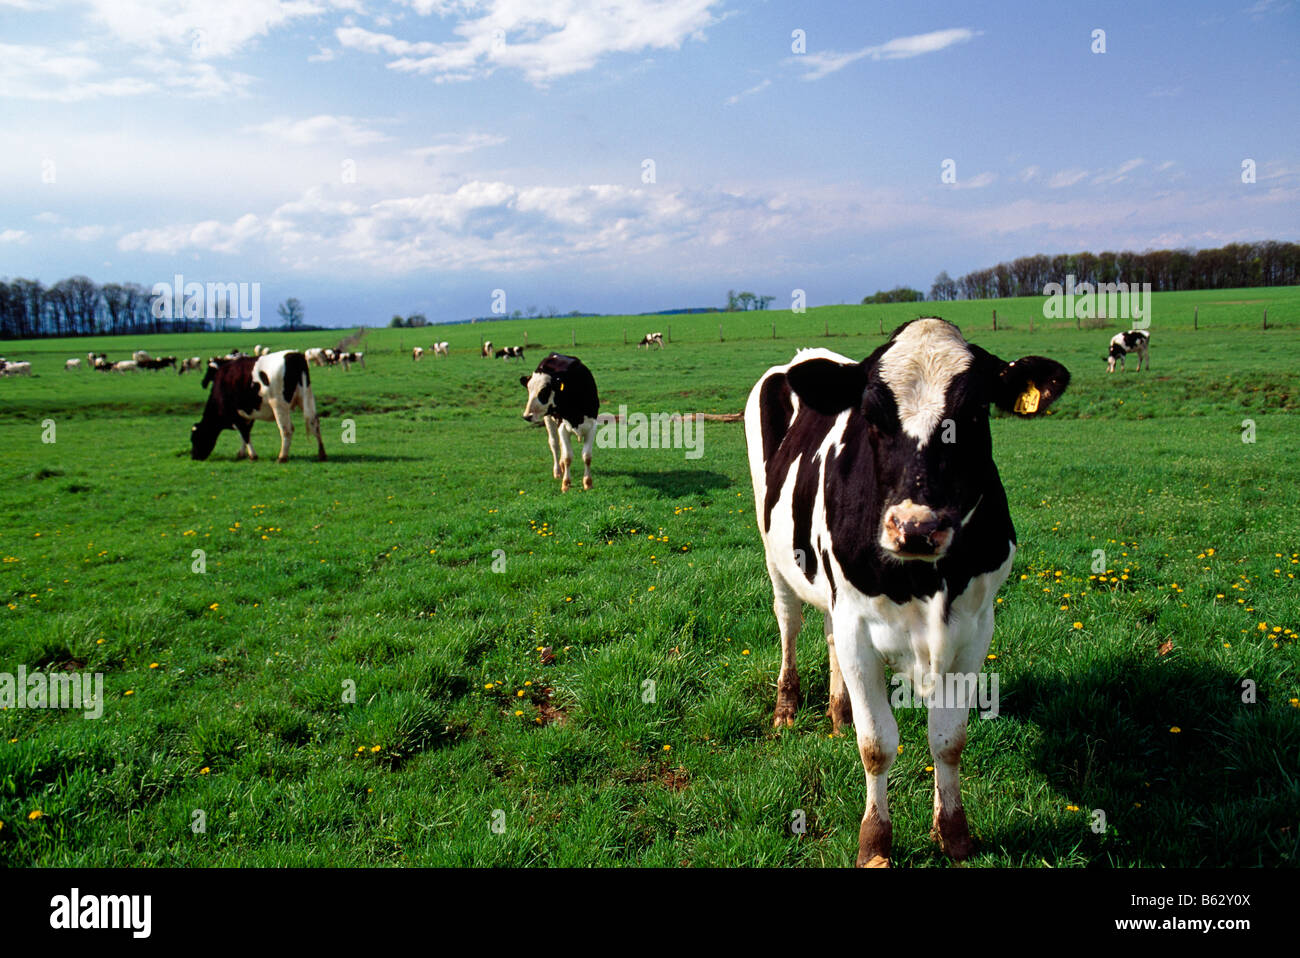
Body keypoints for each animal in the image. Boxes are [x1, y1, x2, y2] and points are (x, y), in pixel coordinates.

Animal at [191, 350, 325, 463]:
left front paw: (252, 455)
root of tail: (295, 355)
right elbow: (244, 434)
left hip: (279, 405)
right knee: (314, 423)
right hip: (307, 398)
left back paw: (282, 457)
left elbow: (244, 434)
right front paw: (241, 453)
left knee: (286, 429)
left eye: (195, 438)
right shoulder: (247, 415)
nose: (194, 457)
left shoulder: (236, 415)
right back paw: (321, 454)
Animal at [520, 353, 600, 492]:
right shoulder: (562, 426)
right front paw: (566, 484)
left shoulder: (592, 426)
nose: (527, 416)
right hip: (549, 419)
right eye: (529, 390)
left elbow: (587, 456)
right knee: (555, 444)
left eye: (544, 391)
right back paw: (558, 471)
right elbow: (568, 457)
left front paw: (588, 483)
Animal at [744, 317, 1069, 868]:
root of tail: (803, 357)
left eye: (975, 412)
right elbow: (877, 745)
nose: (916, 527)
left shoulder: (975, 628)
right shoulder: (859, 626)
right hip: (777, 555)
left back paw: (838, 712)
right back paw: (787, 707)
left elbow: (949, 739)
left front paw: (954, 834)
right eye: (872, 415)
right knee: (789, 622)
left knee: (826, 634)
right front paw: (874, 843)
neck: (925, 580)